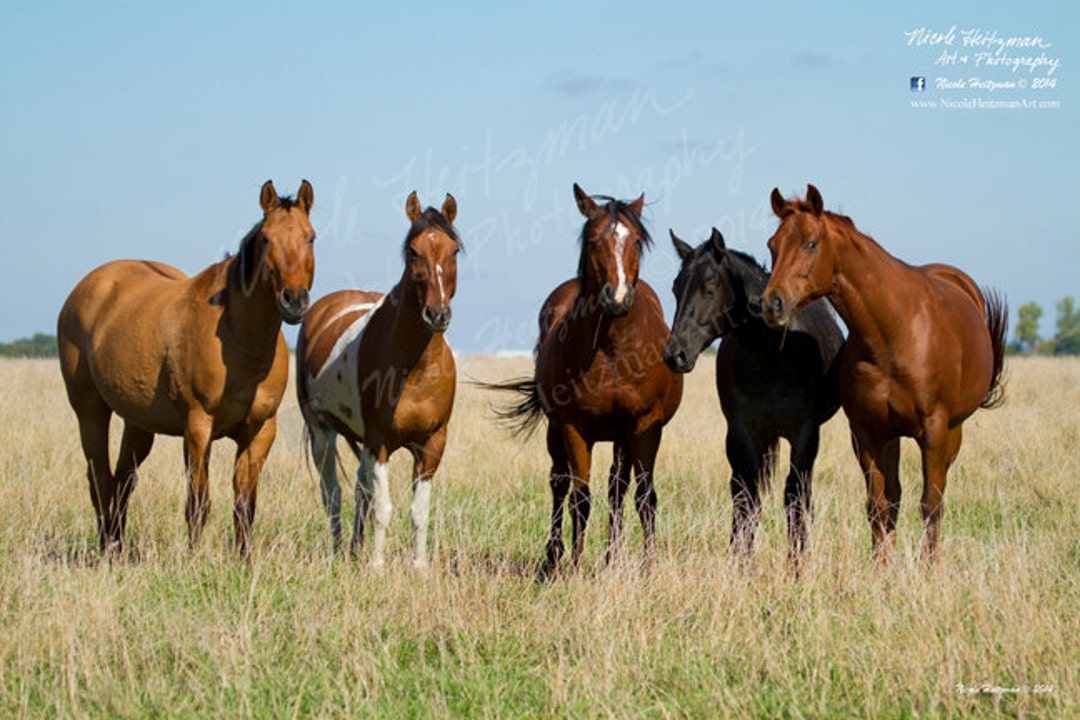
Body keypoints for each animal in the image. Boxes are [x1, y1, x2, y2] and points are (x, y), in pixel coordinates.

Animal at [58, 180, 316, 559]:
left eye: (310, 237)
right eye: (267, 238)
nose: (294, 300)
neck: (239, 341)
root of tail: (88, 288)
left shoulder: (260, 432)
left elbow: (245, 504)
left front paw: (244, 562)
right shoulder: (197, 428)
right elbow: (198, 504)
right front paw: (195, 561)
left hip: (138, 422)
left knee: (122, 482)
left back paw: (117, 546)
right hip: (89, 411)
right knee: (100, 480)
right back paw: (108, 550)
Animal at [296, 192, 460, 568]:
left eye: (454, 250)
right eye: (413, 251)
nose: (437, 314)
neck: (417, 368)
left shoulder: (431, 445)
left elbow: (418, 511)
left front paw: (419, 566)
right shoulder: (379, 442)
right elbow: (382, 508)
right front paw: (378, 566)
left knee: (360, 490)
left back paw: (355, 548)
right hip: (322, 432)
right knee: (333, 494)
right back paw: (339, 551)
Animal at [488, 183, 683, 574]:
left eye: (635, 240)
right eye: (593, 242)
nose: (617, 298)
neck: (613, 349)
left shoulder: (646, 426)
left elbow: (644, 495)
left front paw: (648, 566)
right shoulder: (575, 427)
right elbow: (580, 497)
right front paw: (576, 566)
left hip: (624, 436)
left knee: (617, 487)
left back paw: (612, 556)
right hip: (556, 431)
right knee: (559, 483)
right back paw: (554, 553)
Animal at [663, 227, 844, 566]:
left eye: (709, 287)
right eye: (676, 288)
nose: (675, 354)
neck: (772, 351)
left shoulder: (805, 433)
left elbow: (794, 498)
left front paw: (796, 564)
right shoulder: (741, 432)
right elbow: (746, 497)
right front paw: (740, 561)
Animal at [760, 185, 1007, 564]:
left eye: (811, 243)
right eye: (772, 245)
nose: (772, 303)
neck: (894, 333)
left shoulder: (934, 432)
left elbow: (931, 504)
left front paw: (929, 568)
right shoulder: (867, 433)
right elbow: (879, 505)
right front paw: (881, 568)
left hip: (952, 433)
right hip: (893, 437)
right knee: (894, 496)